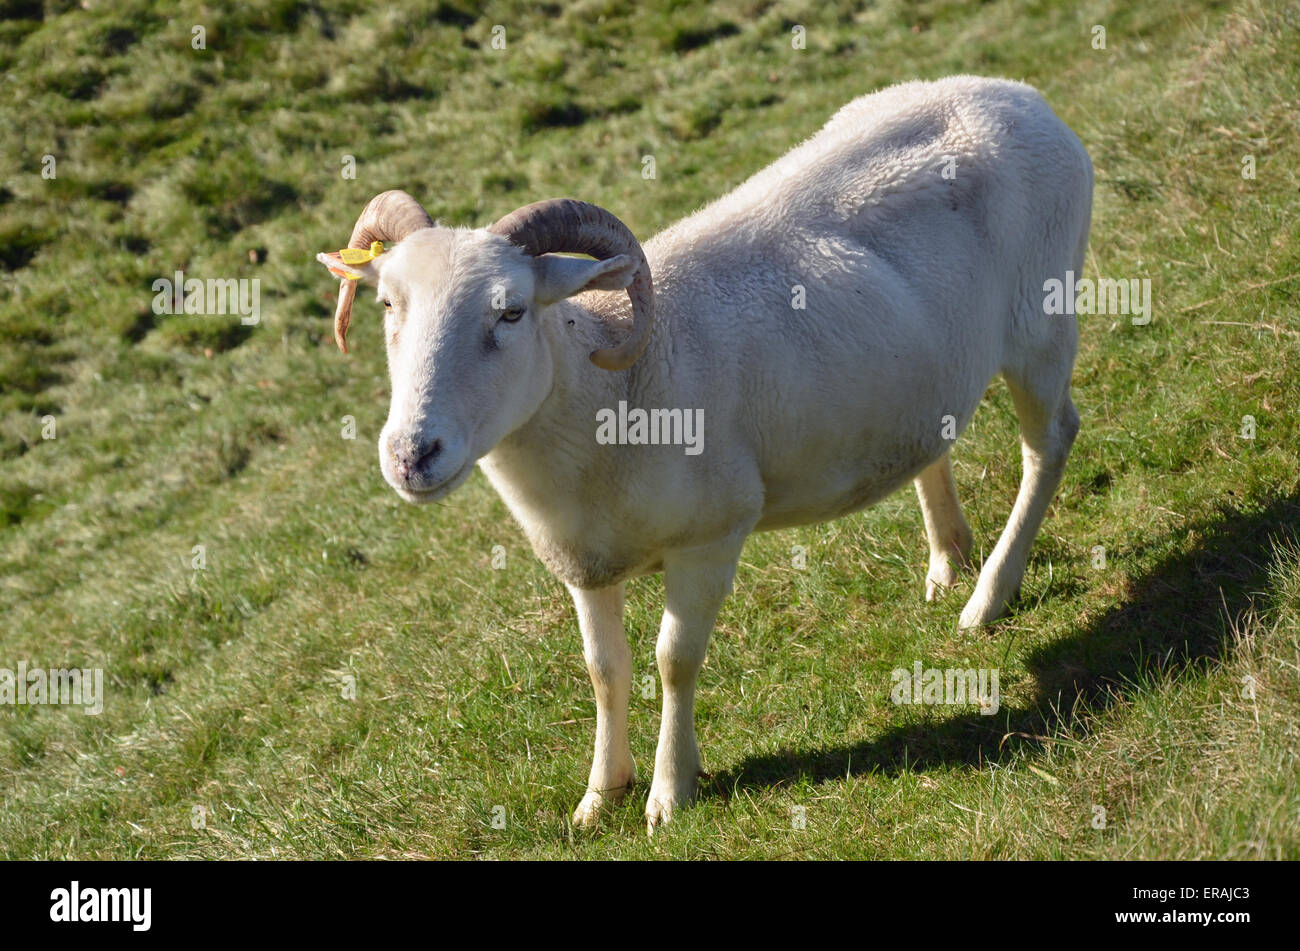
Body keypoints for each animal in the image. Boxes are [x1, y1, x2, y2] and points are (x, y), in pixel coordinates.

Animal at [316, 75, 1093, 832]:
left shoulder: (711, 536)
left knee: (1049, 444)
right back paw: (947, 559)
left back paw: (989, 594)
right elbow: (604, 669)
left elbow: (673, 661)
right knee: (938, 437)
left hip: (1042, 326)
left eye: (511, 311)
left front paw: (669, 791)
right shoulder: (583, 561)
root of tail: (1014, 93)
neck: (607, 393)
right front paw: (600, 795)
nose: (412, 454)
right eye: (387, 305)